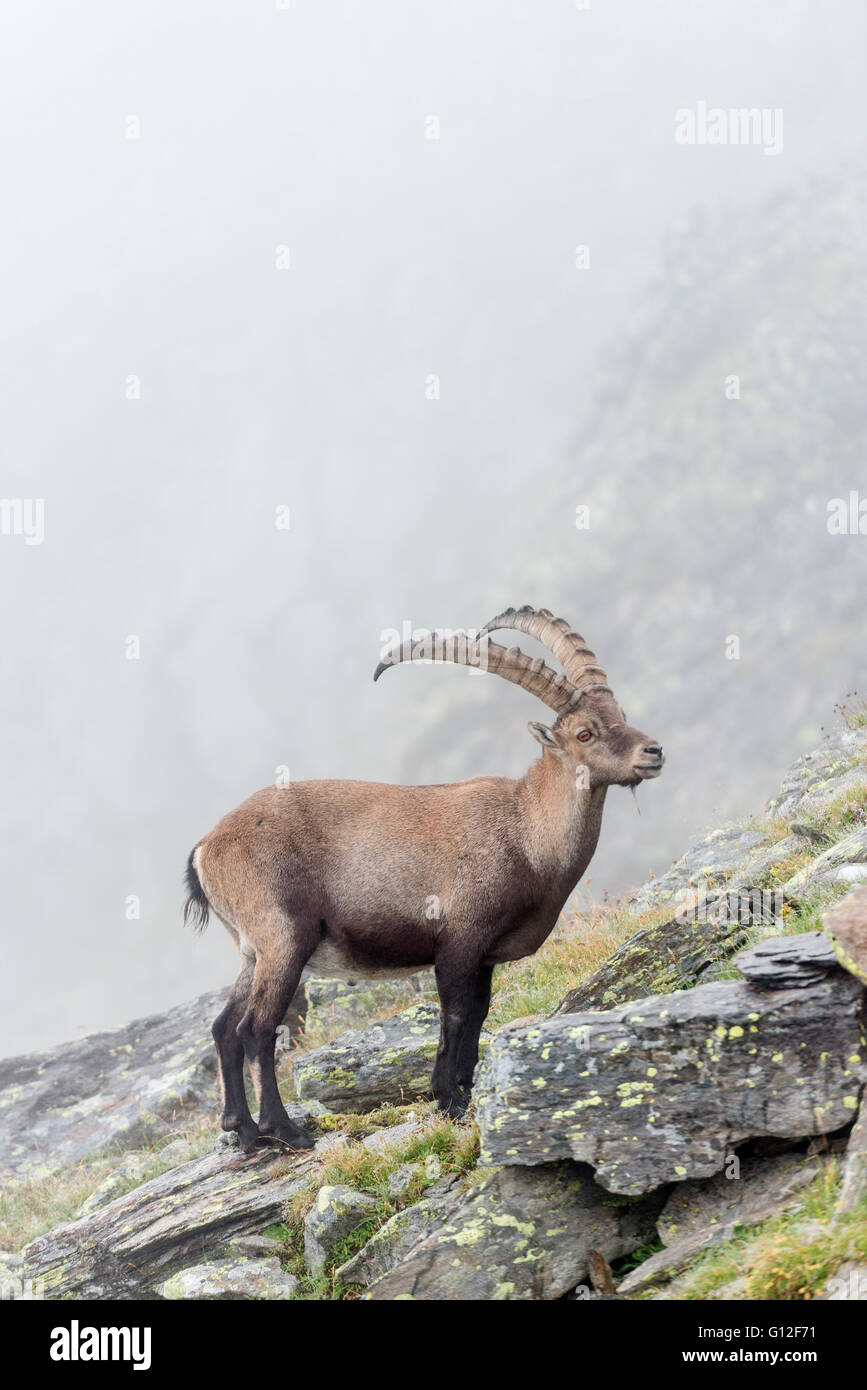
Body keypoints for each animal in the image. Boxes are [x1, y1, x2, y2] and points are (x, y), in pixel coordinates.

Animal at [184, 605, 664, 1151]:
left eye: (620, 716)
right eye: (585, 734)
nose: (653, 752)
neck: (525, 828)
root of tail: (206, 848)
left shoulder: (484, 955)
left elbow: (478, 1015)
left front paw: (468, 1088)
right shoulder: (458, 939)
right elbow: (454, 1015)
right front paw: (447, 1098)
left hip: (251, 948)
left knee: (223, 1028)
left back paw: (241, 1130)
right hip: (283, 939)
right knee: (256, 1029)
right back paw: (283, 1130)